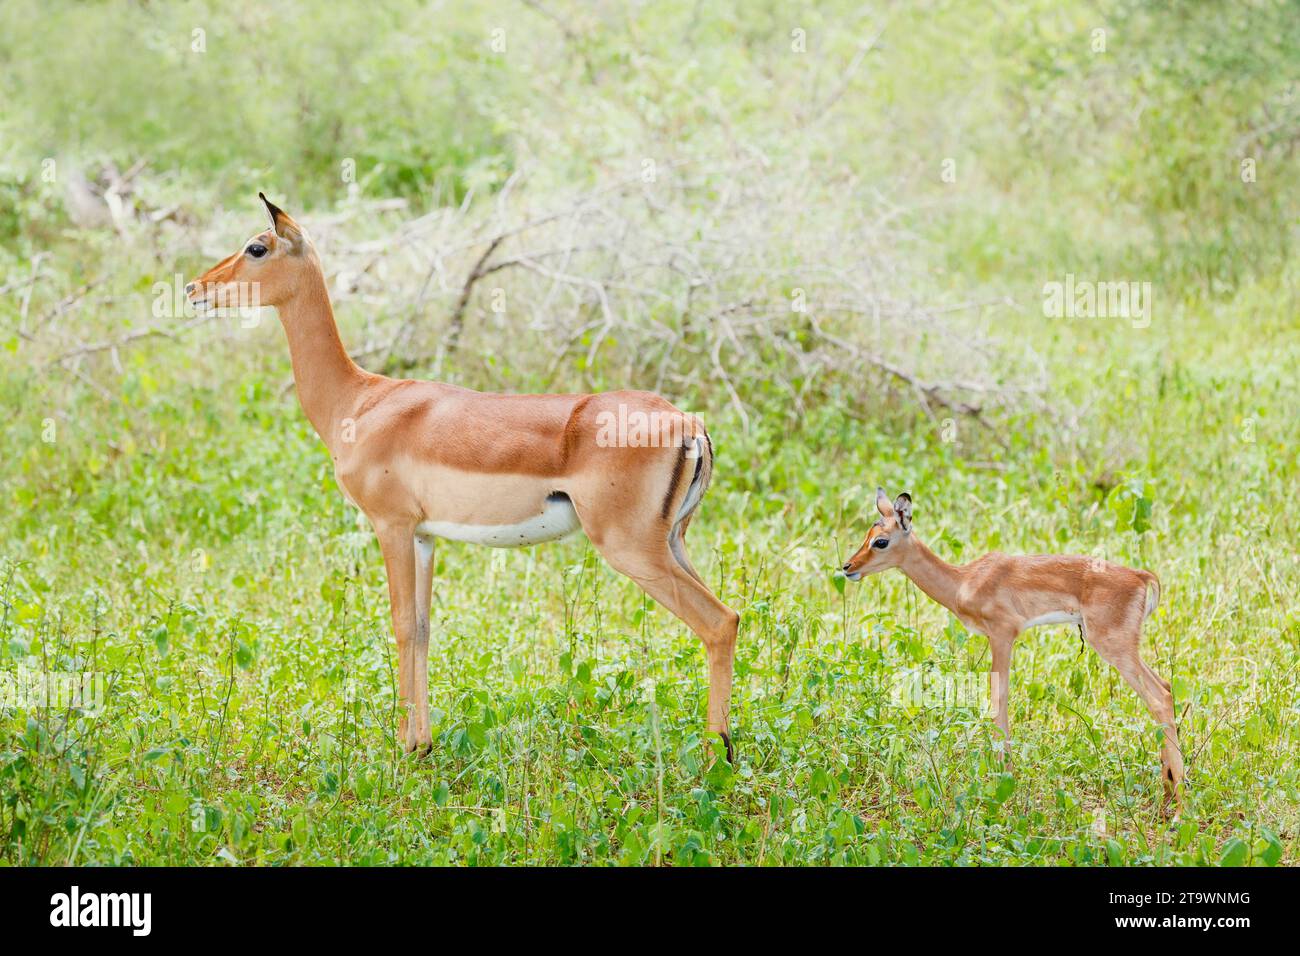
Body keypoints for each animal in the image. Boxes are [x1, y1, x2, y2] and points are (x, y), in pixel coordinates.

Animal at [186, 194, 739, 760]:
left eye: (257, 247)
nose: (194, 289)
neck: (359, 400)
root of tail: (688, 423)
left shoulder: (391, 525)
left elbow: (401, 624)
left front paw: (404, 750)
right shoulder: (425, 536)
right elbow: (424, 627)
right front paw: (423, 744)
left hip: (629, 547)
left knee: (719, 621)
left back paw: (717, 752)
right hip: (672, 541)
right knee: (731, 615)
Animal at [841, 488, 1183, 809]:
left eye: (881, 541)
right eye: (867, 534)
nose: (847, 566)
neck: (964, 581)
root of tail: (1142, 576)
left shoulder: (1003, 635)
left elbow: (998, 698)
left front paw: (1004, 779)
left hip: (1113, 646)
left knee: (1159, 697)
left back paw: (1179, 804)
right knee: (1166, 686)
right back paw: (1168, 791)